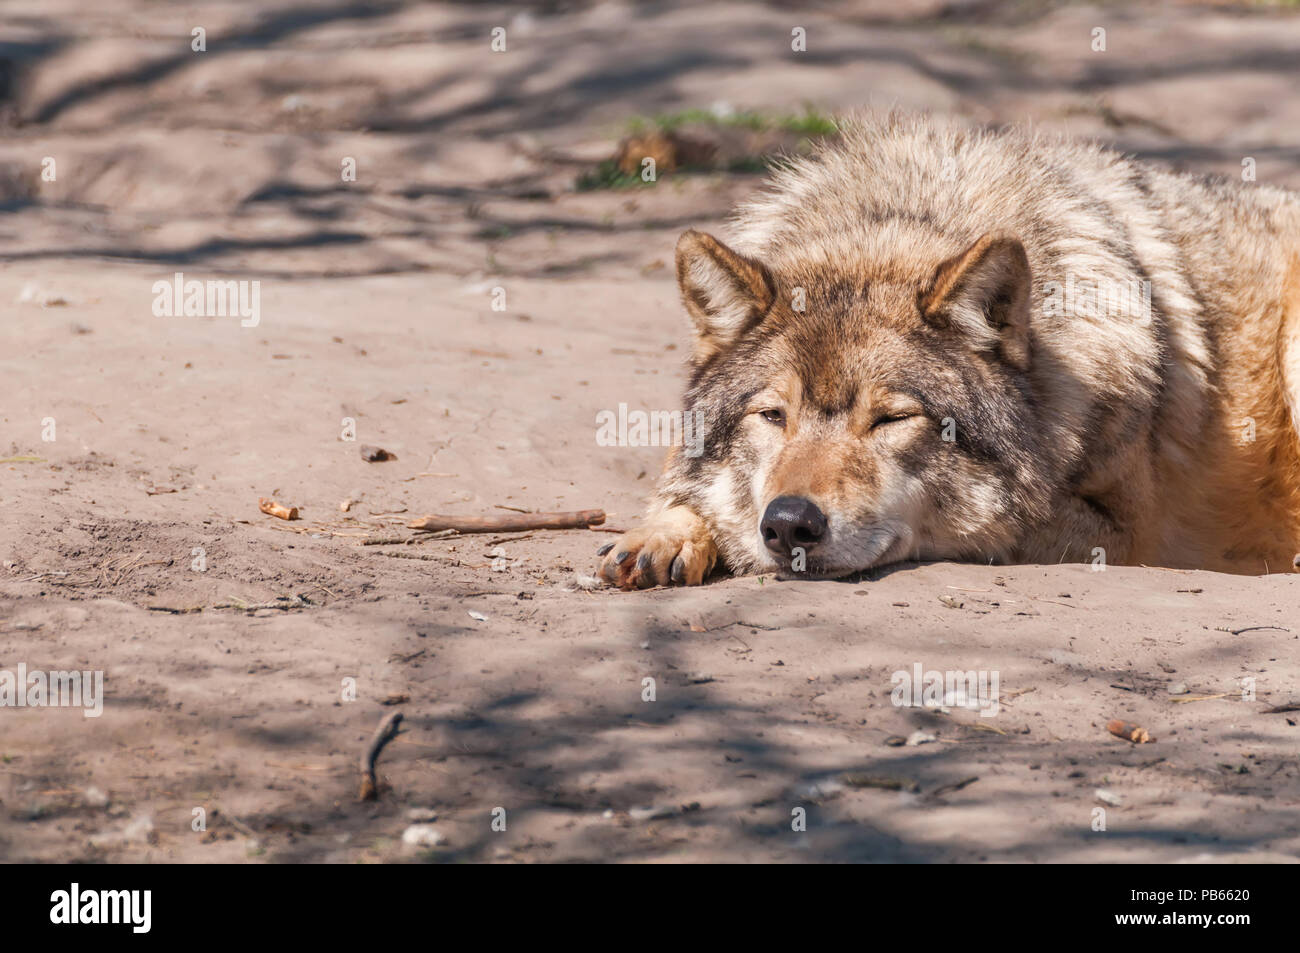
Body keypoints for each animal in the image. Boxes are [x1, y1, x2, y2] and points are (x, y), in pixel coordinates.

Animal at [598, 113, 1300, 588]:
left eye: (891, 419)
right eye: (773, 416)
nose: (790, 523)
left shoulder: (1121, 529)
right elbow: (683, 485)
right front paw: (664, 532)